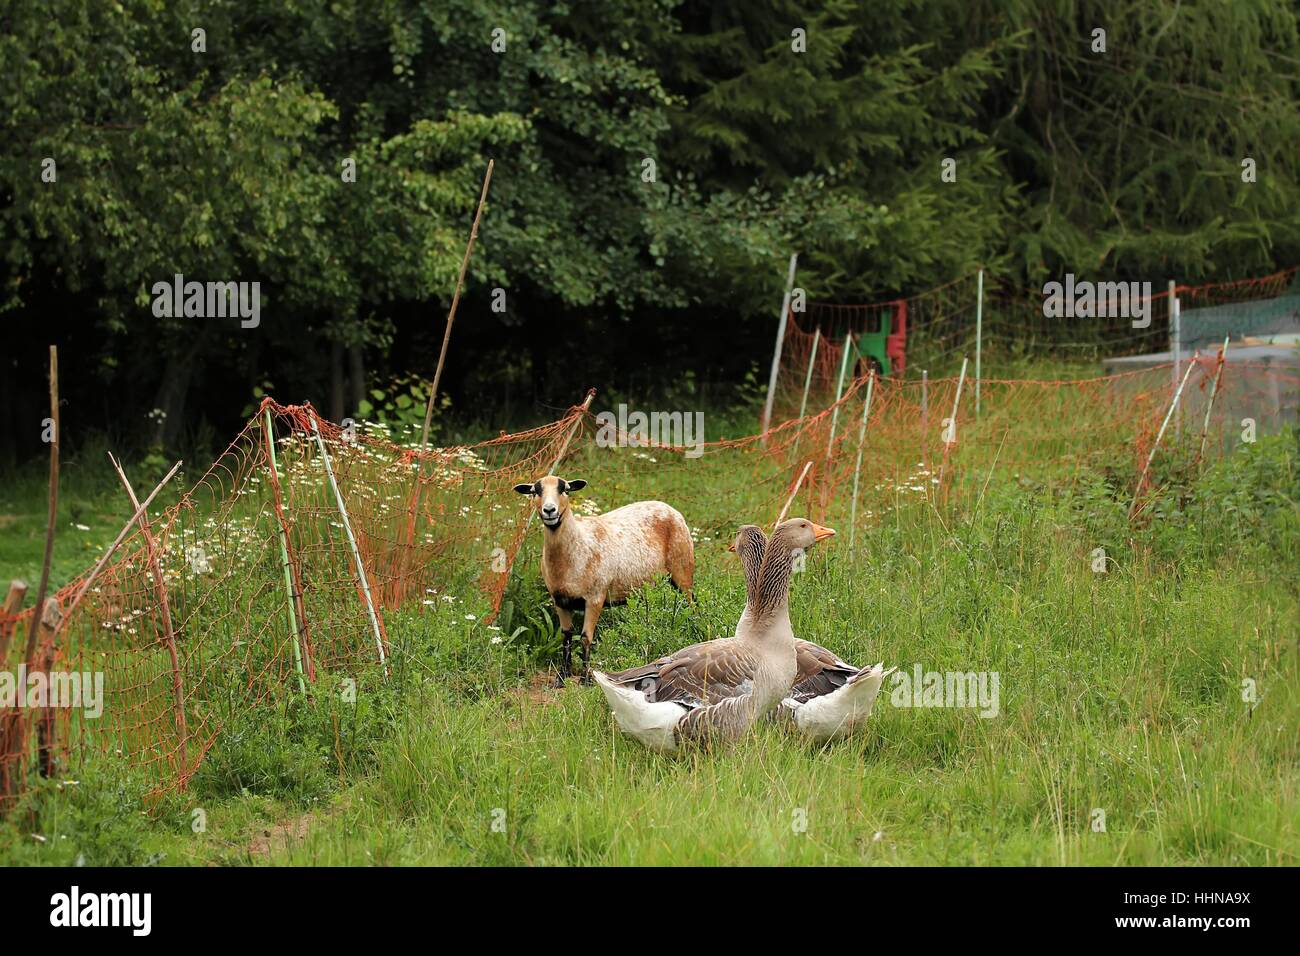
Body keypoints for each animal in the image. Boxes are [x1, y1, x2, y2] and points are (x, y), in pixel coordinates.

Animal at [512, 475, 694, 685]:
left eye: (565, 489)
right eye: (535, 491)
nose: (550, 510)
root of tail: (669, 507)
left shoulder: (595, 597)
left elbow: (585, 638)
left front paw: (585, 679)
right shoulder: (560, 600)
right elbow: (566, 637)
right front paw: (562, 676)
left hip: (683, 569)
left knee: (692, 604)